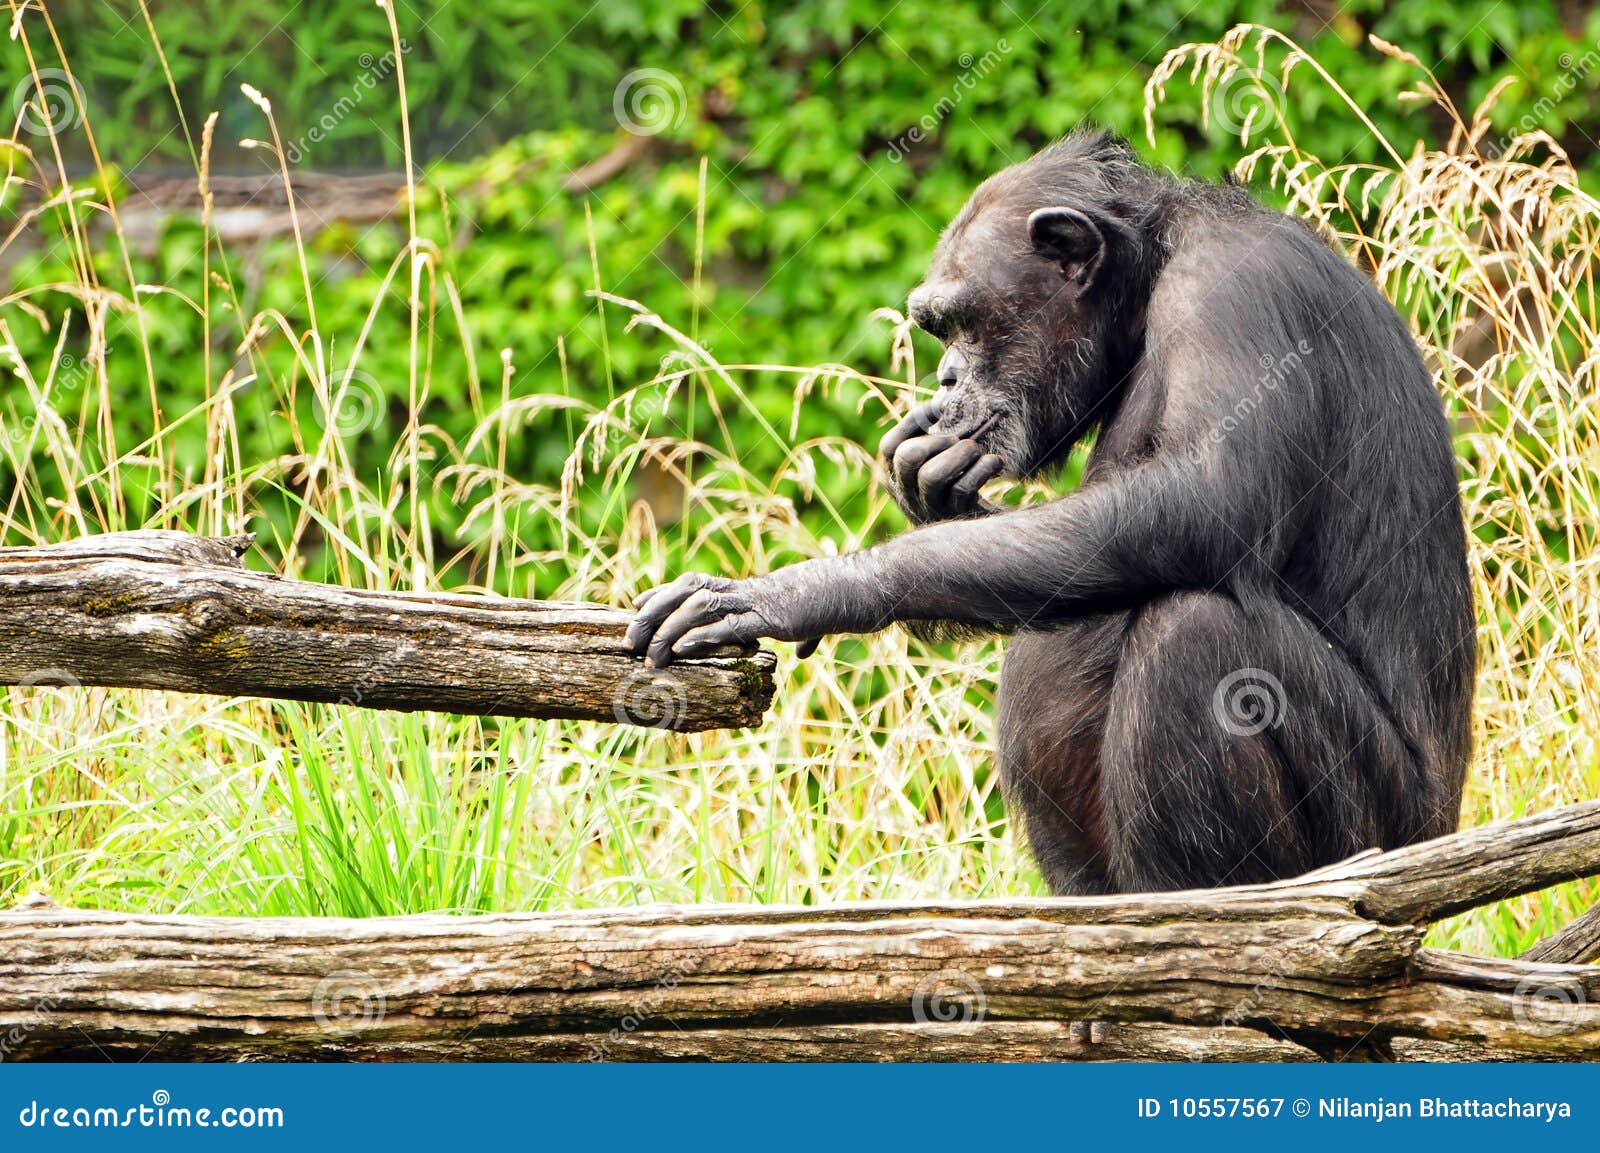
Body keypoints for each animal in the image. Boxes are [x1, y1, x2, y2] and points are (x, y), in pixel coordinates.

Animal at [626, 129, 1475, 896]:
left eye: (962, 320)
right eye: (939, 328)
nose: (945, 376)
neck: (1152, 278)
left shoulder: (1235, 289)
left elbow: (1213, 494)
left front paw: (813, 587)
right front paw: (930, 477)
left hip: (1375, 827)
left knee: (1198, 633)